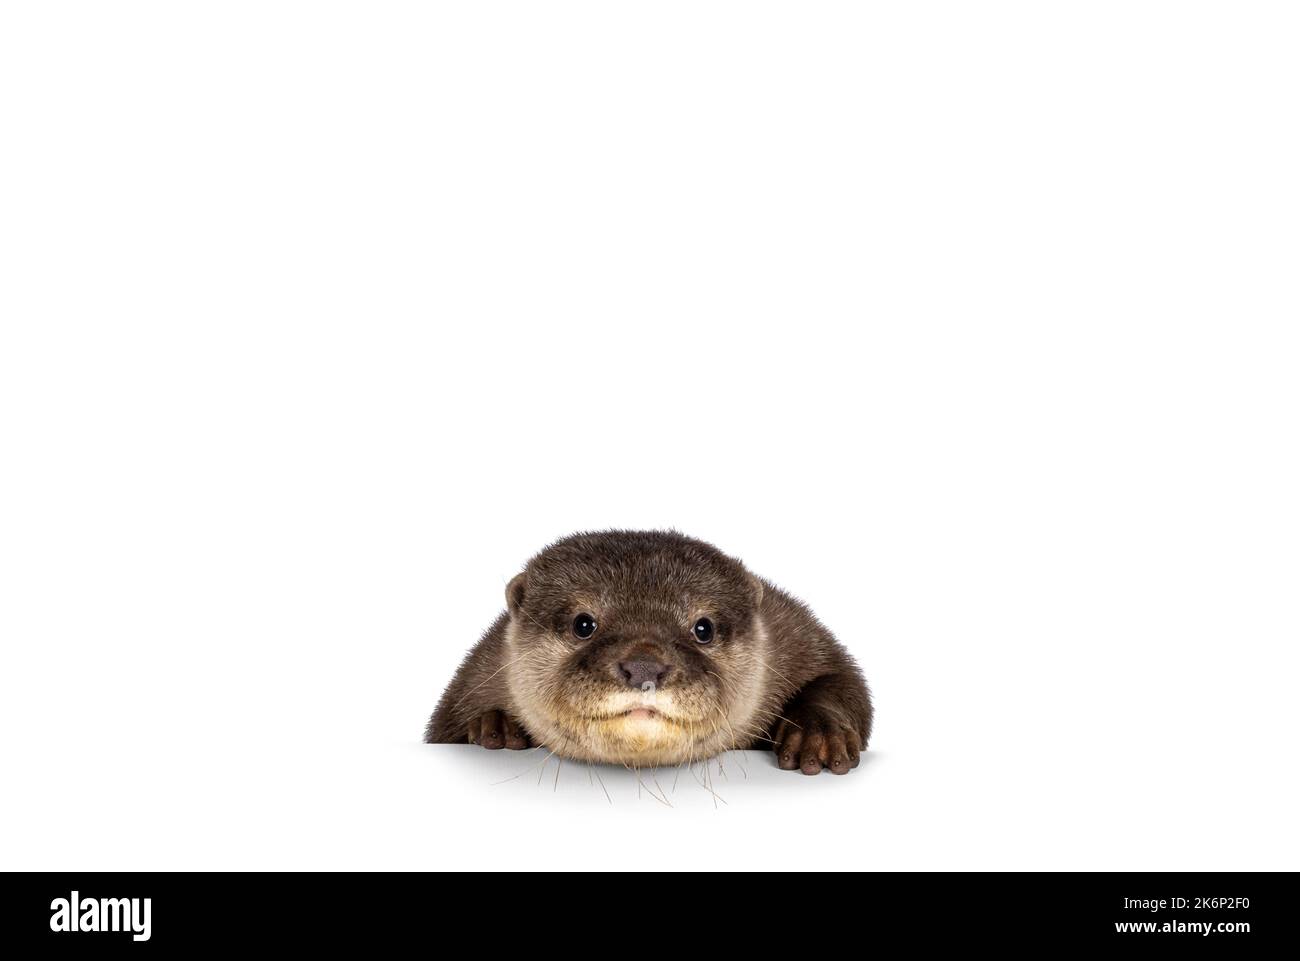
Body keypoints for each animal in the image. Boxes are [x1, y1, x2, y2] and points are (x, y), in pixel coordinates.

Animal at [424, 531, 873, 775]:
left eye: (703, 628)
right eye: (583, 624)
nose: (644, 666)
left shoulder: (793, 634)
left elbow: (841, 678)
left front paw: (818, 733)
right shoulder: (479, 672)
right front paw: (497, 725)